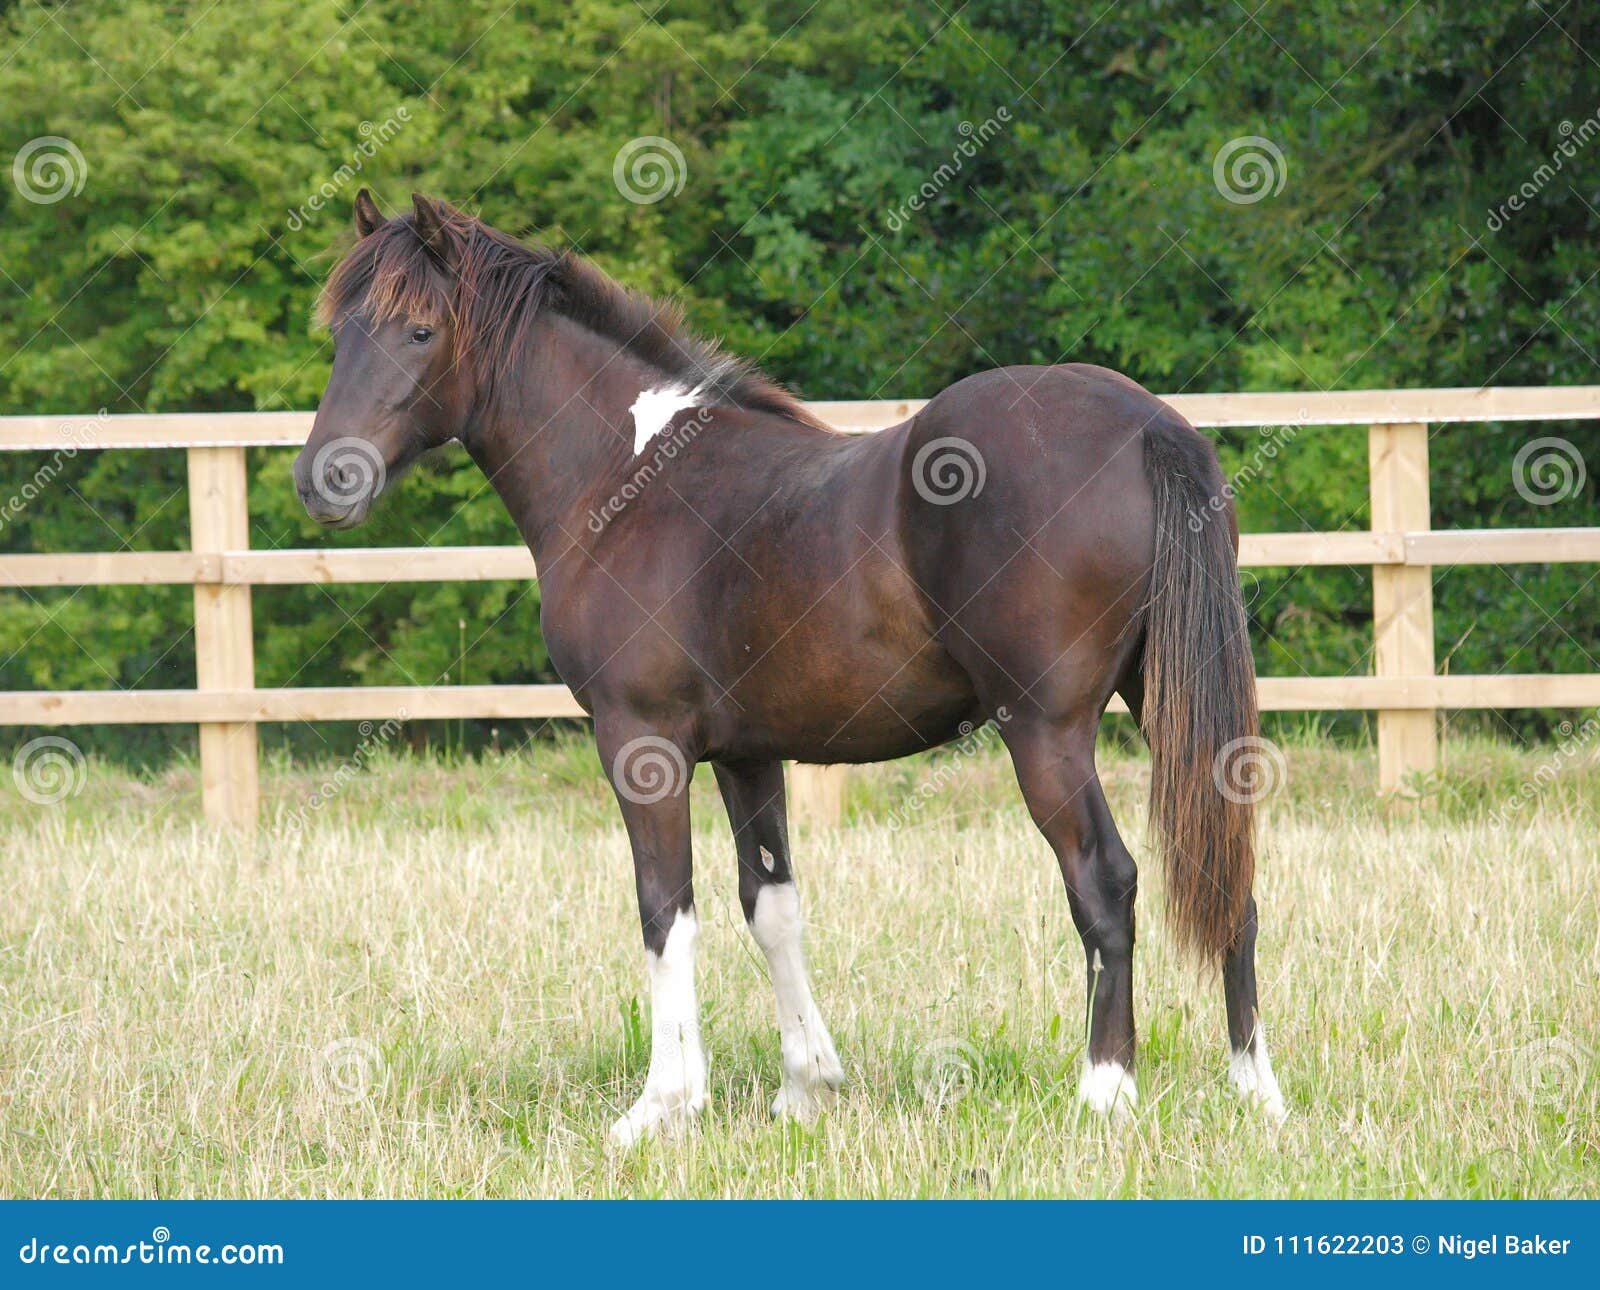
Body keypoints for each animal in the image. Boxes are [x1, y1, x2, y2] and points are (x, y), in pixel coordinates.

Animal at [294, 190, 1286, 1145]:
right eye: (342, 332)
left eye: (420, 330)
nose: (322, 480)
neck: (627, 479)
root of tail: (1147, 425)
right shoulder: (747, 753)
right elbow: (770, 905)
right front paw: (806, 1087)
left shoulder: (642, 744)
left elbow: (666, 911)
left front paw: (663, 1105)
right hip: (1167, 706)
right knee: (1229, 873)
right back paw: (1255, 1090)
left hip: (1046, 730)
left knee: (1105, 883)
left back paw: (1104, 1091)